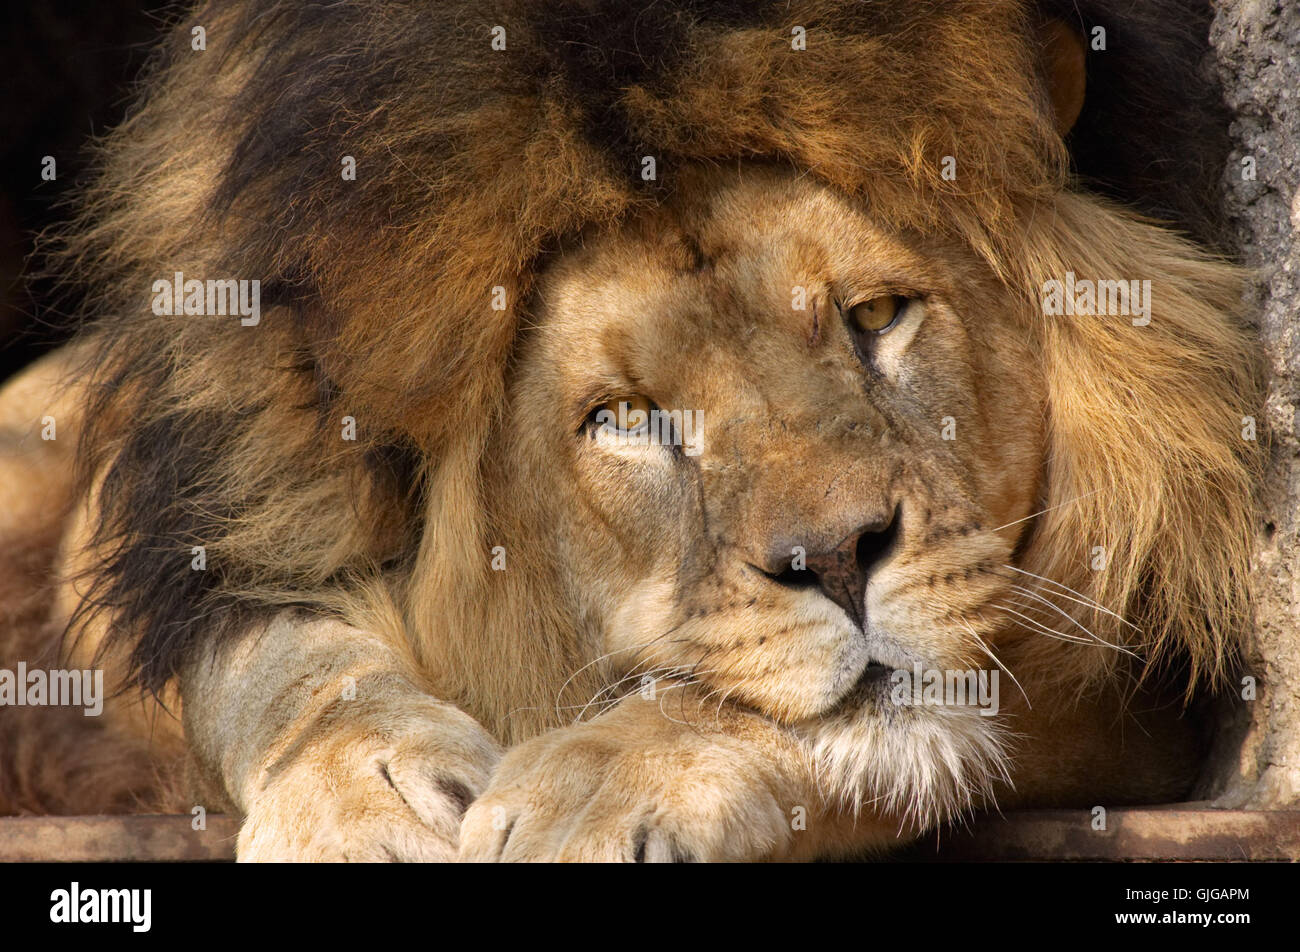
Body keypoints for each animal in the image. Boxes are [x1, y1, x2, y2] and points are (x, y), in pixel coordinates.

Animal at [0, 0, 1260, 861]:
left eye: (876, 317)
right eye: (627, 419)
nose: (837, 557)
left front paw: (599, 791)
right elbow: (269, 659)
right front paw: (349, 796)